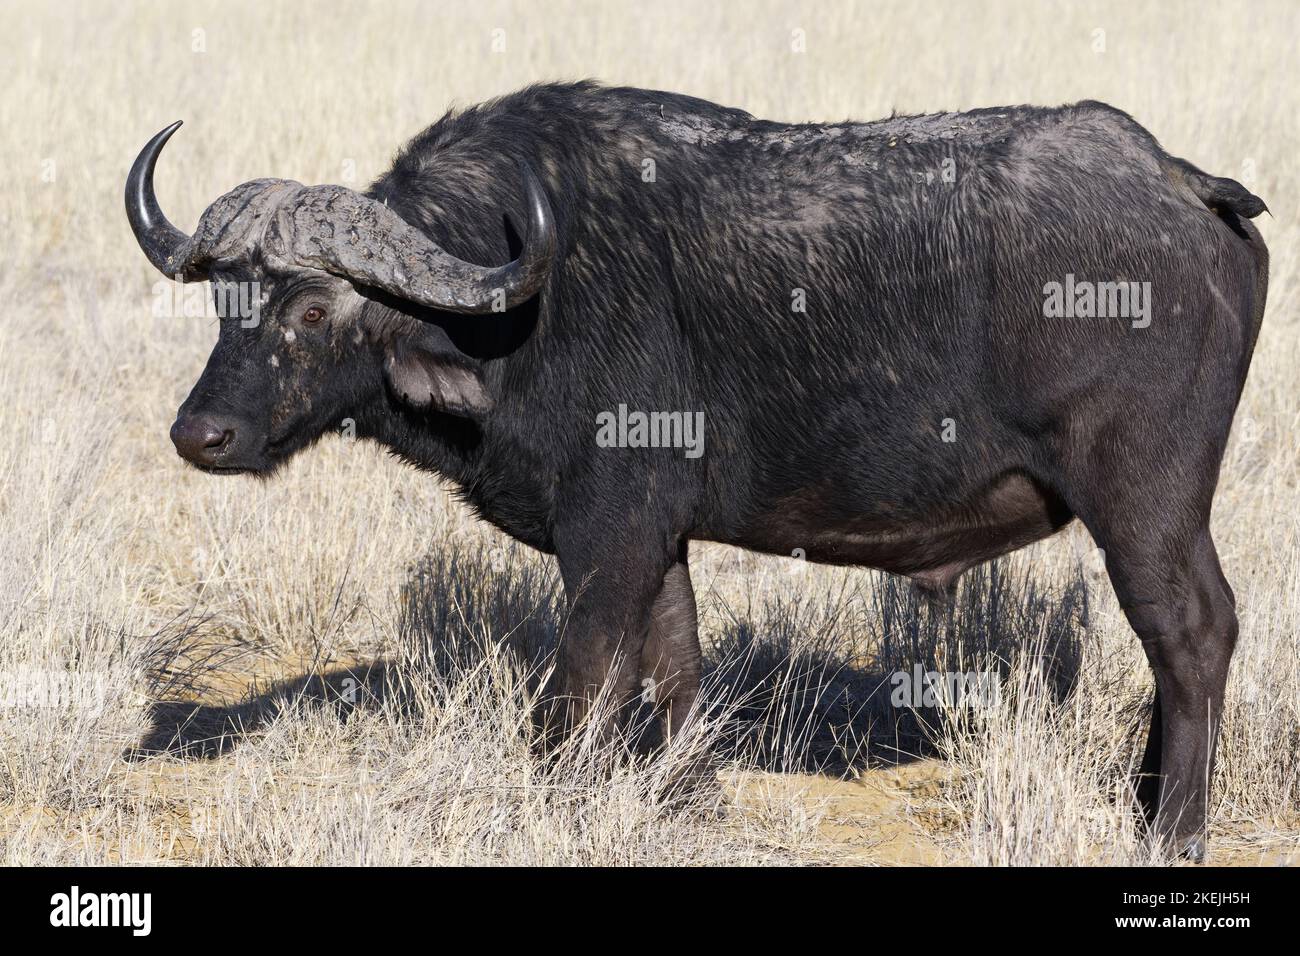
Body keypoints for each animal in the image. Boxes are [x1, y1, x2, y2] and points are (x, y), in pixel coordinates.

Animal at [126, 82, 1269, 860]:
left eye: (316, 310)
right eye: (227, 299)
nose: (201, 434)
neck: (520, 308)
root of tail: (1183, 182)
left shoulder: (606, 536)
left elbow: (584, 685)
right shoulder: (659, 533)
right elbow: (675, 668)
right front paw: (684, 800)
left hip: (1144, 503)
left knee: (1193, 634)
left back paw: (1170, 828)